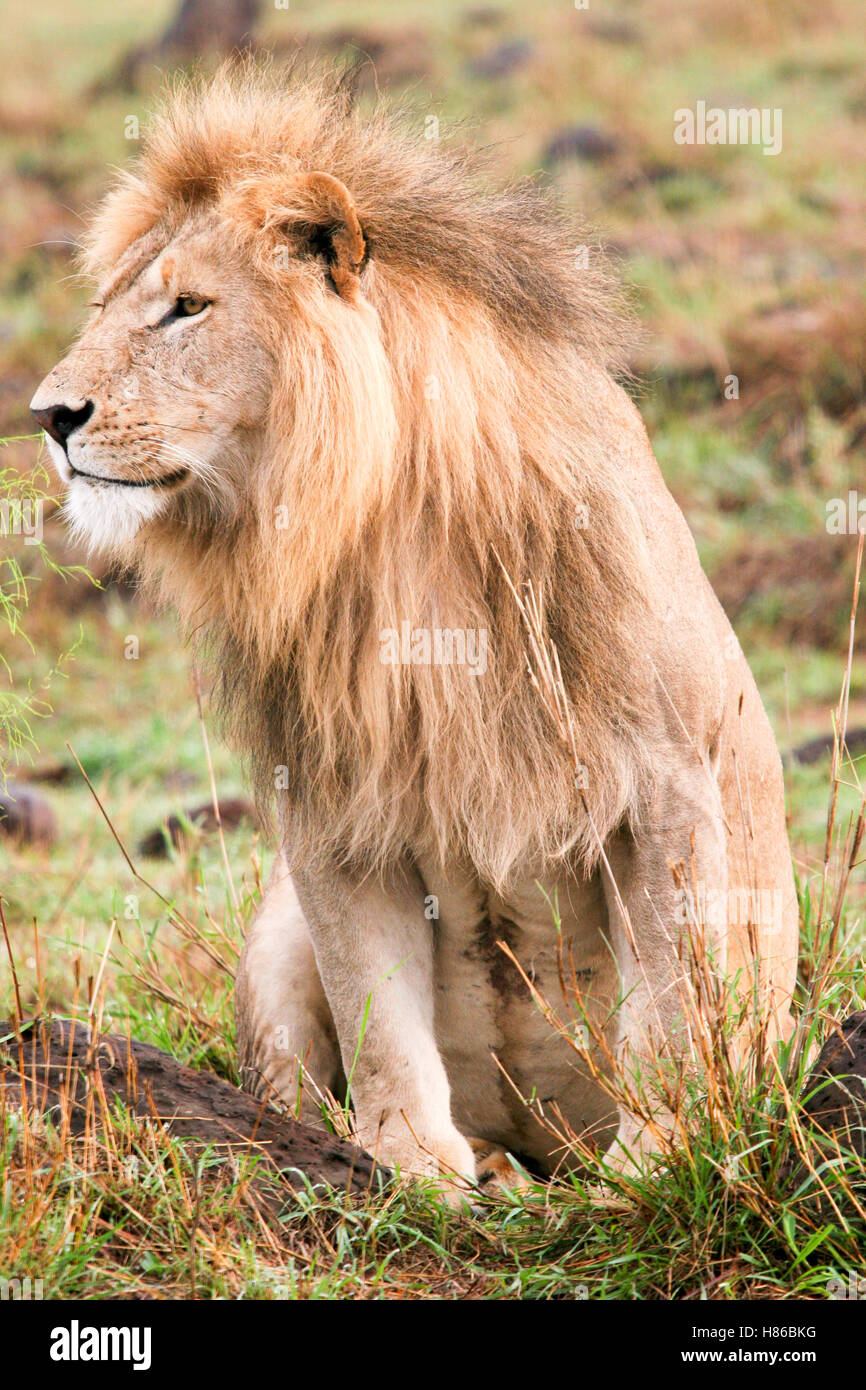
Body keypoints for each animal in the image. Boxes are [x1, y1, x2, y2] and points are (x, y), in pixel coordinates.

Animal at [31, 62, 798, 1200]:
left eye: (185, 308)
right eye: (106, 309)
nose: (49, 416)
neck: (394, 525)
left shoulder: (669, 783)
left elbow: (672, 996)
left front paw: (658, 1158)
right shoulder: (334, 806)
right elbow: (375, 1008)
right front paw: (407, 1169)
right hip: (274, 926)